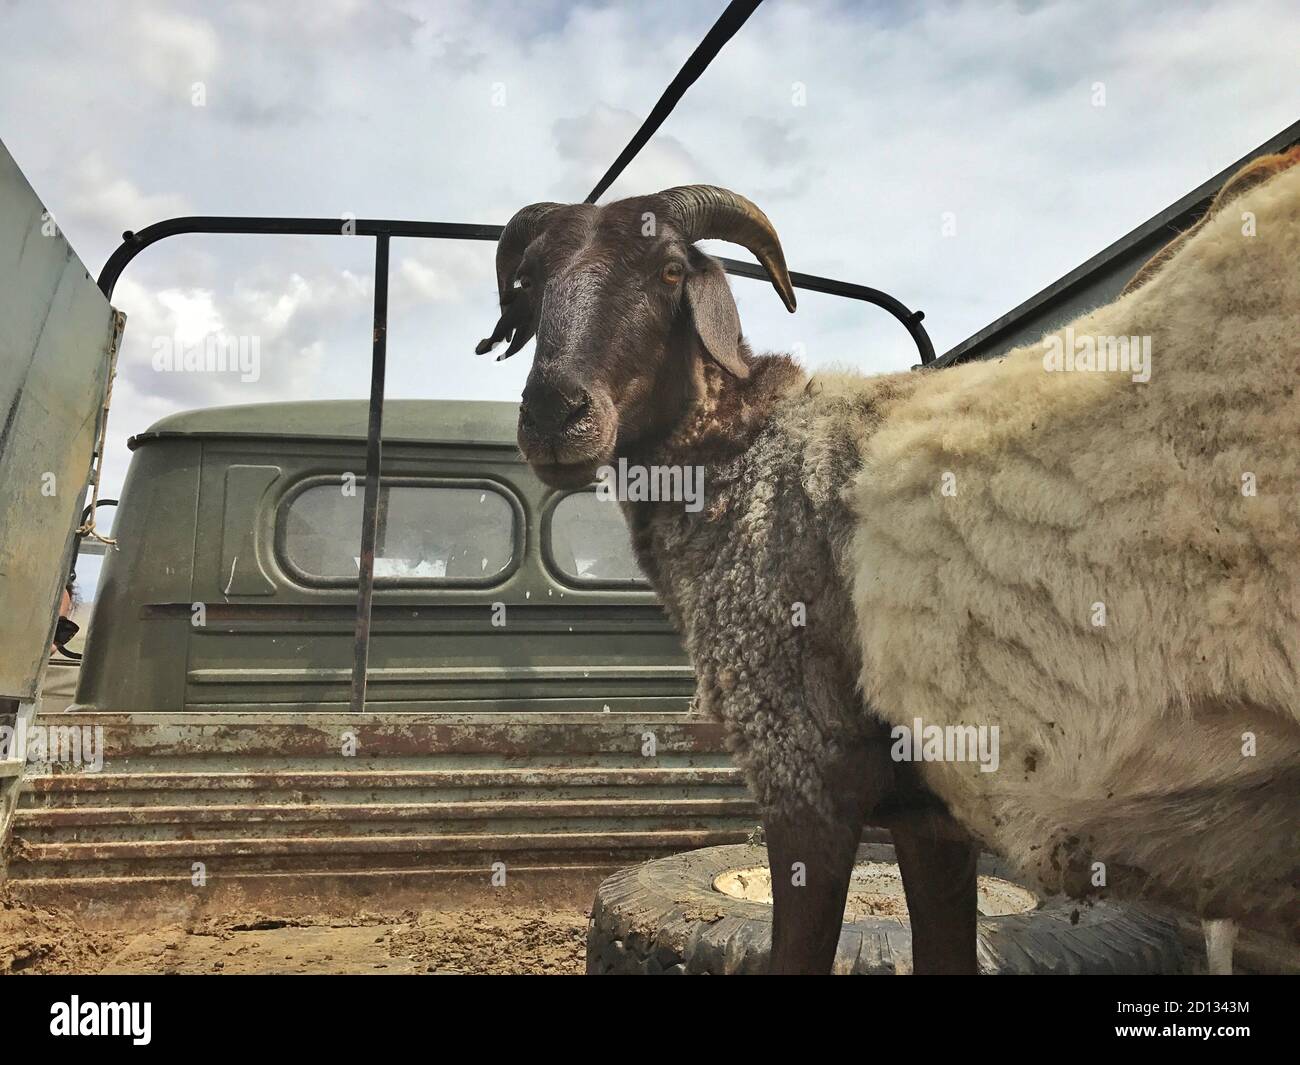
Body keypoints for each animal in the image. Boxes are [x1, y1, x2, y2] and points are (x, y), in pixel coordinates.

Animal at [478, 157, 1300, 974]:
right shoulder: (931, 811)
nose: (553, 415)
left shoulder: (805, 766)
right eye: (531, 282)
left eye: (671, 269)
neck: (745, 455)